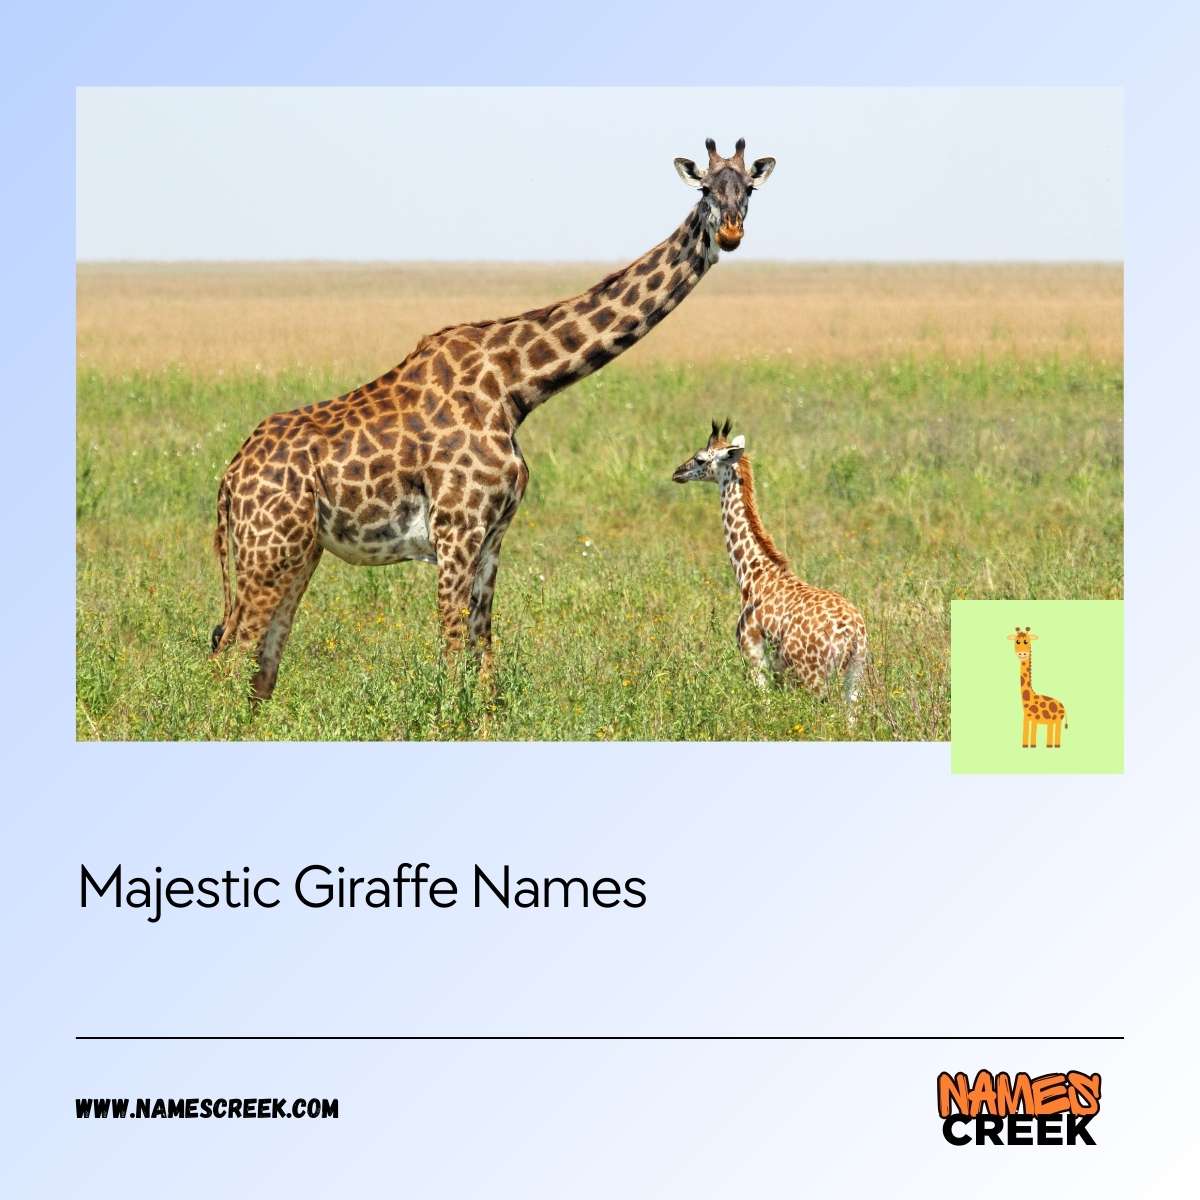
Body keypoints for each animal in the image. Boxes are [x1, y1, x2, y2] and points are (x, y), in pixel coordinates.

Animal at [210, 138, 776, 699]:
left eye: (748, 188)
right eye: (705, 188)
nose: (730, 234)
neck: (514, 387)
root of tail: (230, 477)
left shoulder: (492, 536)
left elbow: (484, 655)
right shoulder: (457, 528)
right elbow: (451, 650)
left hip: (298, 550)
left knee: (260, 661)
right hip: (269, 548)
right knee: (231, 651)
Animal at [671, 421, 868, 712]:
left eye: (699, 458)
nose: (677, 472)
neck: (752, 574)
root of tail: (853, 635)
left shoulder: (754, 656)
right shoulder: (779, 671)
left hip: (814, 676)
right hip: (855, 676)